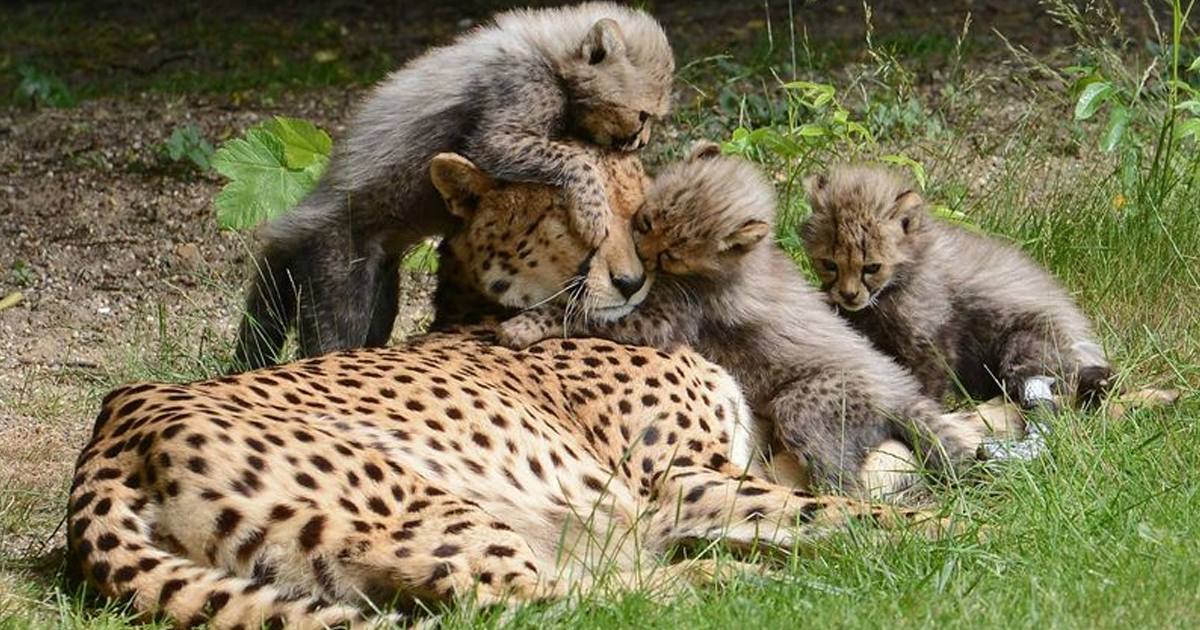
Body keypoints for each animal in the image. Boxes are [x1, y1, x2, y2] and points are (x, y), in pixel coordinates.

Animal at [67, 329, 957, 630]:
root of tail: (116, 425)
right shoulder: (678, 482)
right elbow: (838, 509)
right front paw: (968, 535)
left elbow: (855, 485)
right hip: (433, 495)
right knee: (519, 600)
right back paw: (722, 586)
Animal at [235, 1, 674, 369]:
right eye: (643, 115)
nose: (642, 141)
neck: (553, 53)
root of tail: (303, 216)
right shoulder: (508, 114)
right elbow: (569, 159)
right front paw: (592, 210)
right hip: (339, 275)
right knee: (331, 342)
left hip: (380, 292)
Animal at [490, 145, 988, 495]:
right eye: (645, 223)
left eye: (672, 252)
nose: (641, 268)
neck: (740, 264)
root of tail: (894, 386)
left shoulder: (668, 319)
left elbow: (591, 314)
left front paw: (523, 326)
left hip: (807, 405)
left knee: (846, 480)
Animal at [800, 164, 1114, 415]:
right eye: (829, 264)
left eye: (872, 267)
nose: (848, 295)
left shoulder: (933, 343)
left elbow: (926, 384)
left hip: (1024, 341)